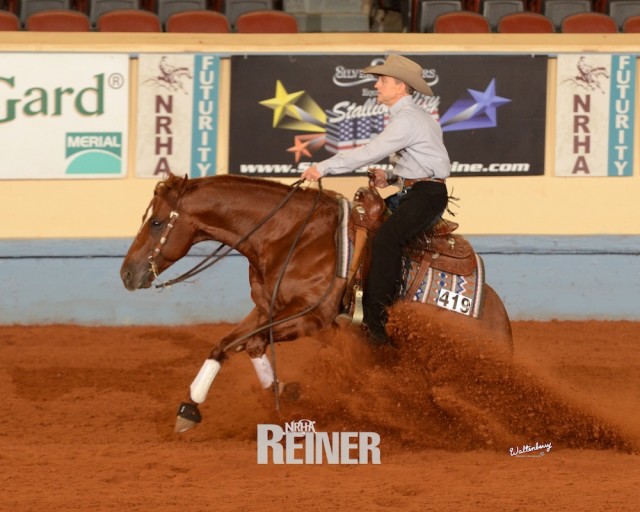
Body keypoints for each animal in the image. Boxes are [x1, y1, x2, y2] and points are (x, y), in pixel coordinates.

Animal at [120, 172, 513, 433]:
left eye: (157, 223)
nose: (126, 274)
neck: (288, 234)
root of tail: (499, 320)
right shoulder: (266, 309)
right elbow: (230, 343)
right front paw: (194, 405)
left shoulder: (311, 317)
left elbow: (247, 342)